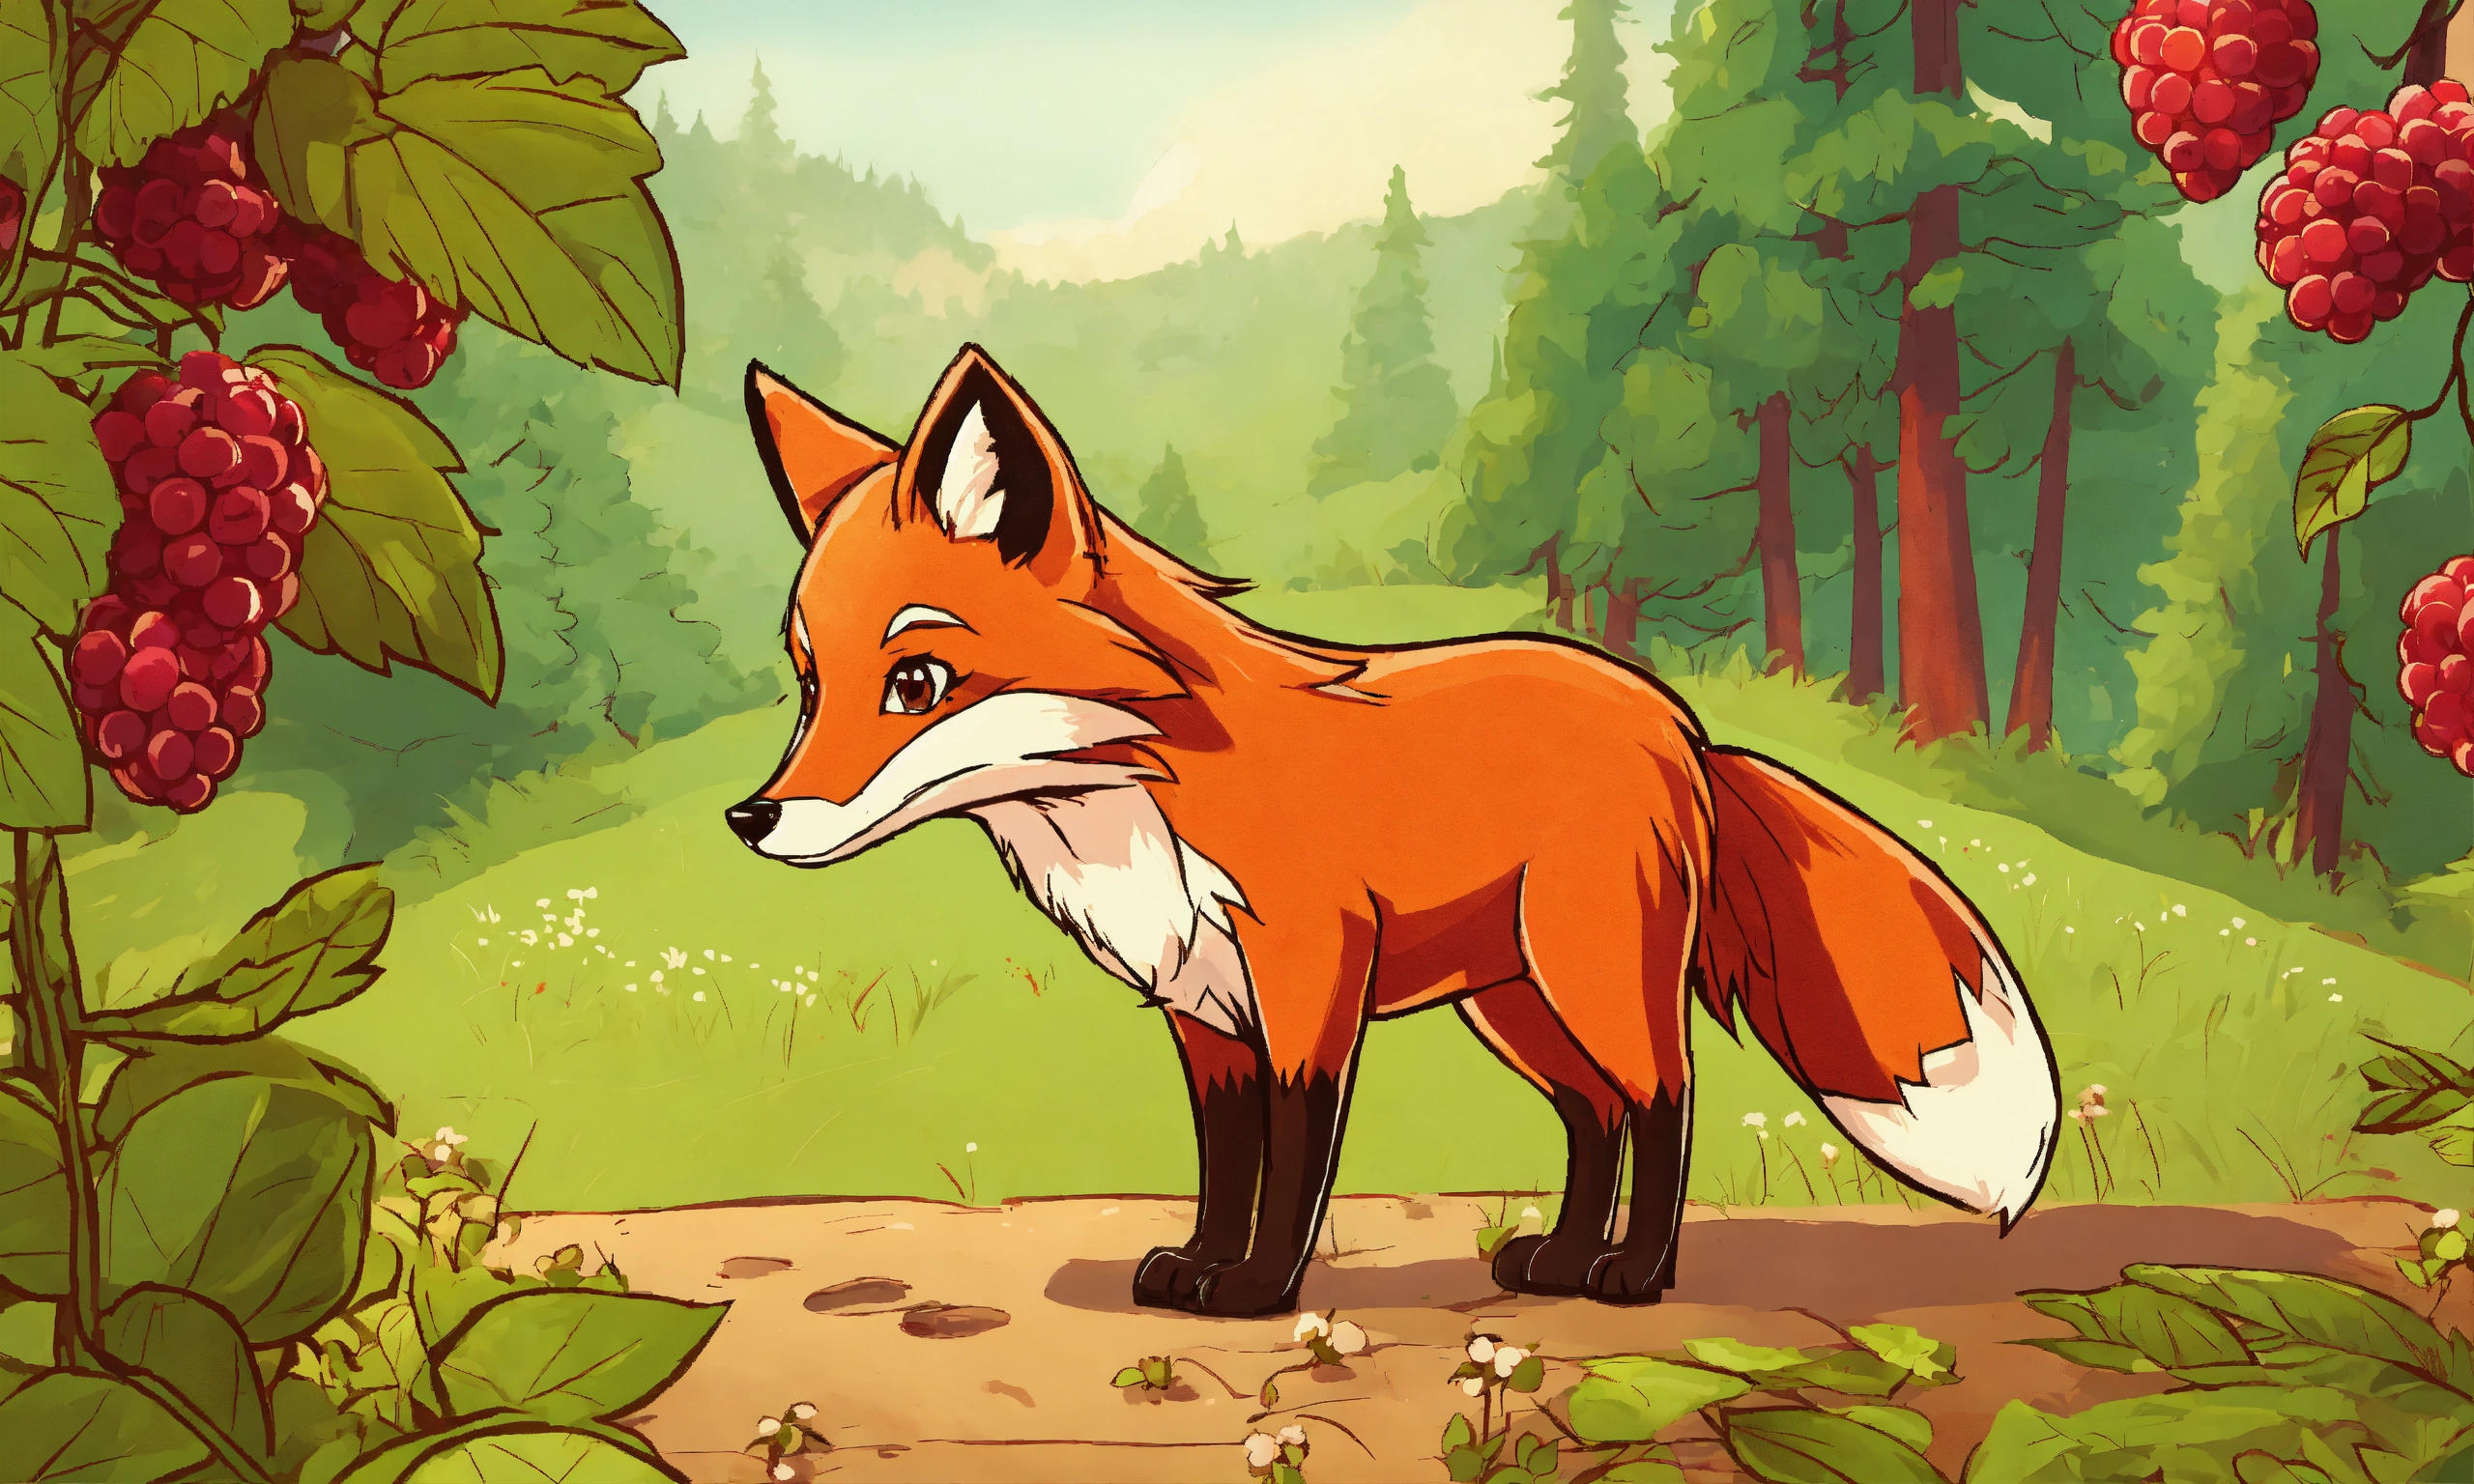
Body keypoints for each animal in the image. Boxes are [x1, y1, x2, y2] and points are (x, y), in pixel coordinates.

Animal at [725, 343, 2063, 1318]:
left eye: (916, 683)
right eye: (808, 684)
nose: (751, 817)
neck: (1139, 793)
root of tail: (1680, 725)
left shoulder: (1306, 980)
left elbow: (1296, 1157)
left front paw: (1257, 1290)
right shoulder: (1203, 1012)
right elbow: (1225, 1162)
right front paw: (1196, 1267)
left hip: (1587, 973)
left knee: (1666, 1098)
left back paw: (1633, 1276)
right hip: (1514, 1007)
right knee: (1596, 1117)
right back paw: (1559, 1261)